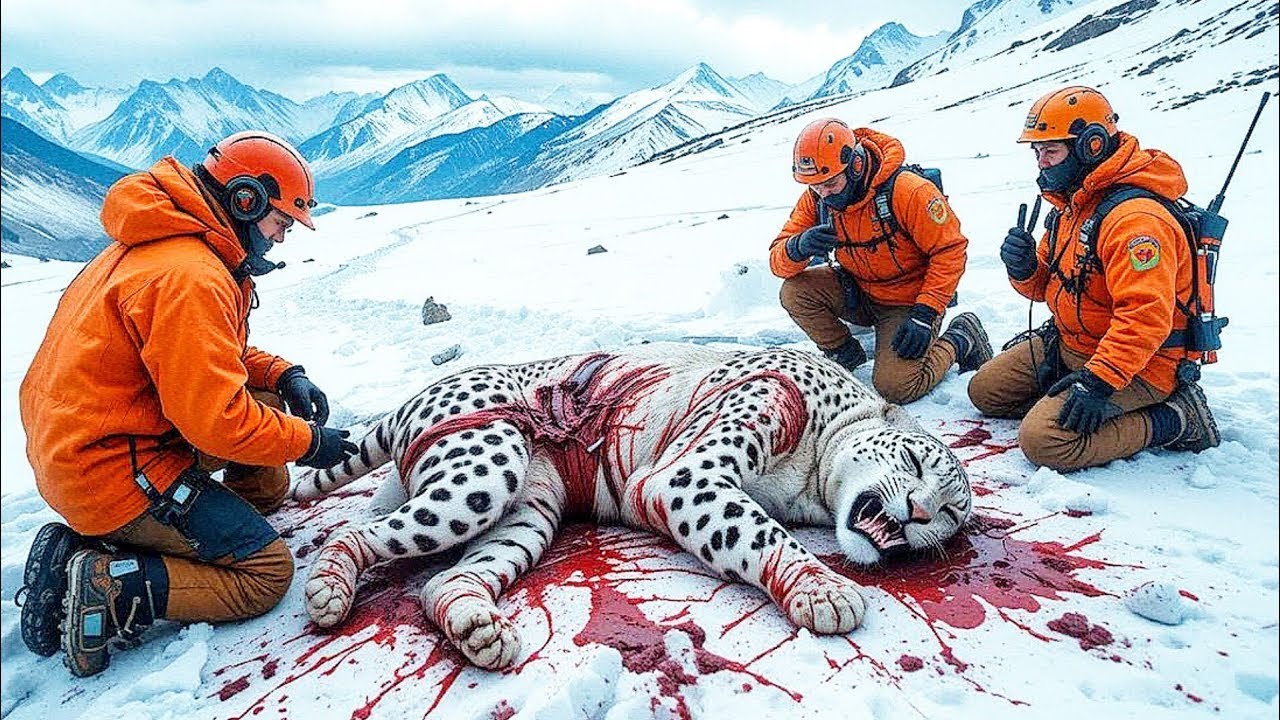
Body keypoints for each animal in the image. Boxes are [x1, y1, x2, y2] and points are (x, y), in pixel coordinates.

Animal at [292, 343, 971, 669]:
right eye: (917, 466)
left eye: (950, 516)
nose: (918, 515)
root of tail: (421, 393)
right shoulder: (683, 475)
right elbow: (761, 532)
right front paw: (820, 587)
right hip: (487, 461)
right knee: (350, 534)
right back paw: (328, 589)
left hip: (523, 515)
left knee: (441, 581)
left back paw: (477, 628)